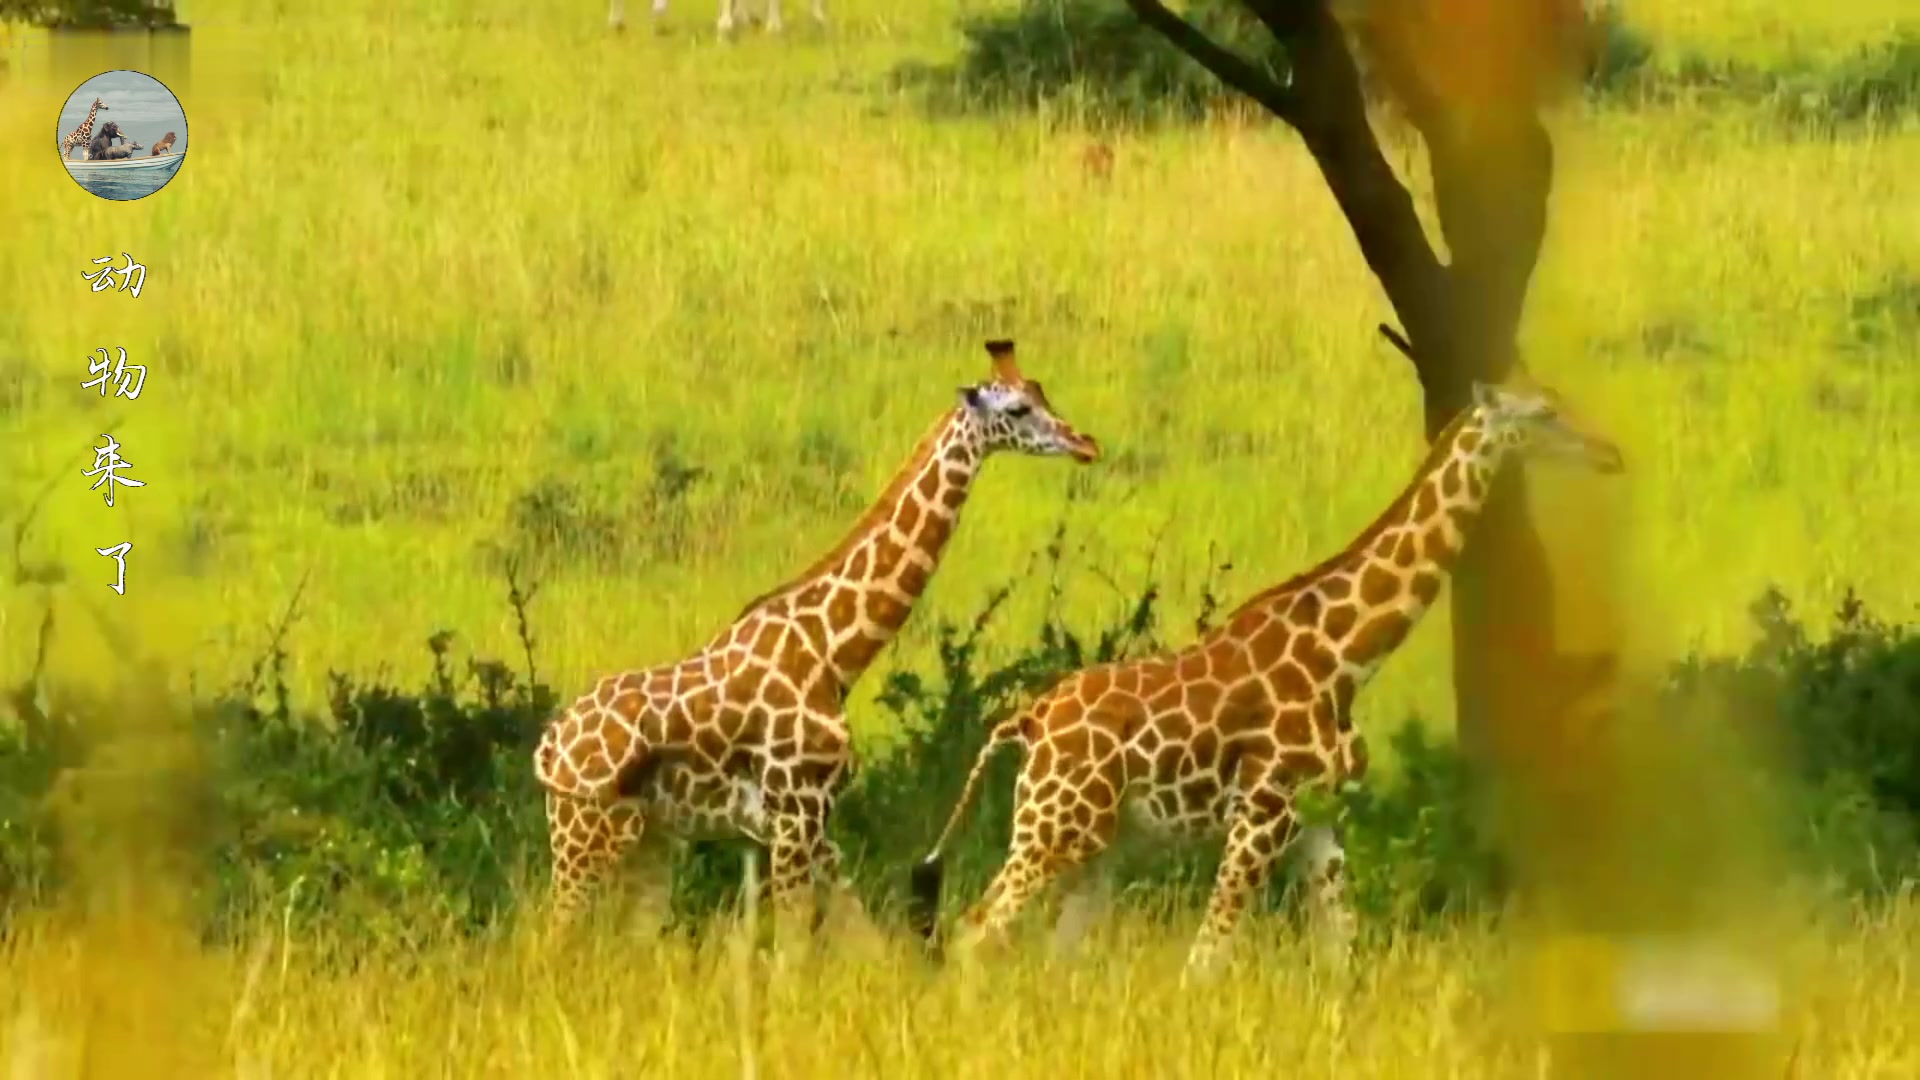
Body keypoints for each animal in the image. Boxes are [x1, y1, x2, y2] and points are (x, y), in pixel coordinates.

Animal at [535, 339, 1101, 940]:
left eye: (1041, 391)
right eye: (1017, 409)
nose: (1084, 443)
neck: (832, 653)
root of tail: (549, 748)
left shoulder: (817, 820)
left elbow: (860, 930)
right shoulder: (793, 813)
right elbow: (793, 936)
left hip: (649, 836)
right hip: (585, 832)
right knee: (551, 933)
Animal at [908, 376, 1625, 978]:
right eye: (1545, 413)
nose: (1611, 454)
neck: (1346, 655)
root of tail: (1026, 722)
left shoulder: (1318, 820)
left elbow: (1341, 954)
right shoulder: (1260, 811)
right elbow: (1206, 959)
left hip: (1098, 841)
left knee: (1051, 949)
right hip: (1054, 826)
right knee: (976, 931)